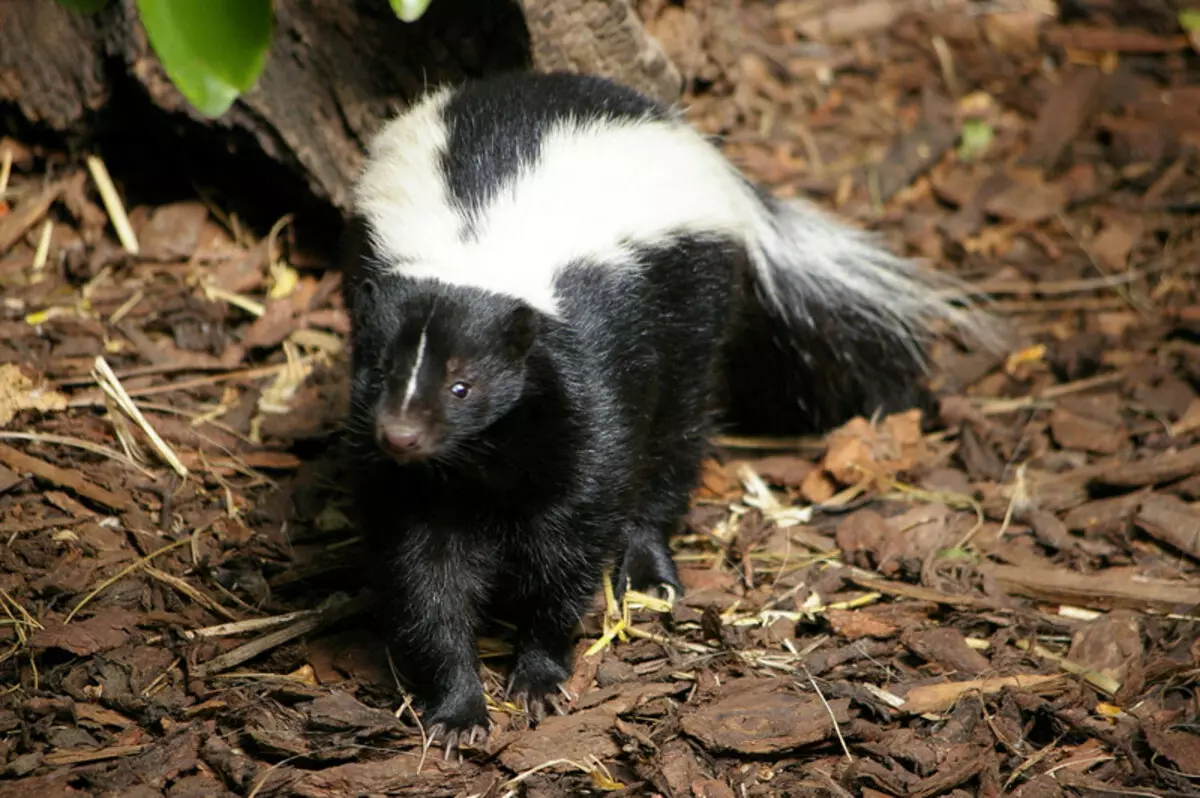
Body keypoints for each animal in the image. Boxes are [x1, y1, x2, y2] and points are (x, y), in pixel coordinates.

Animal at [338, 71, 984, 748]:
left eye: (463, 386)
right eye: (380, 372)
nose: (400, 435)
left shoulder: (589, 373)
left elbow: (573, 534)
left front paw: (540, 675)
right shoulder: (423, 472)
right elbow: (425, 568)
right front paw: (459, 707)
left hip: (692, 305)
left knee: (677, 435)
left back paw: (650, 568)